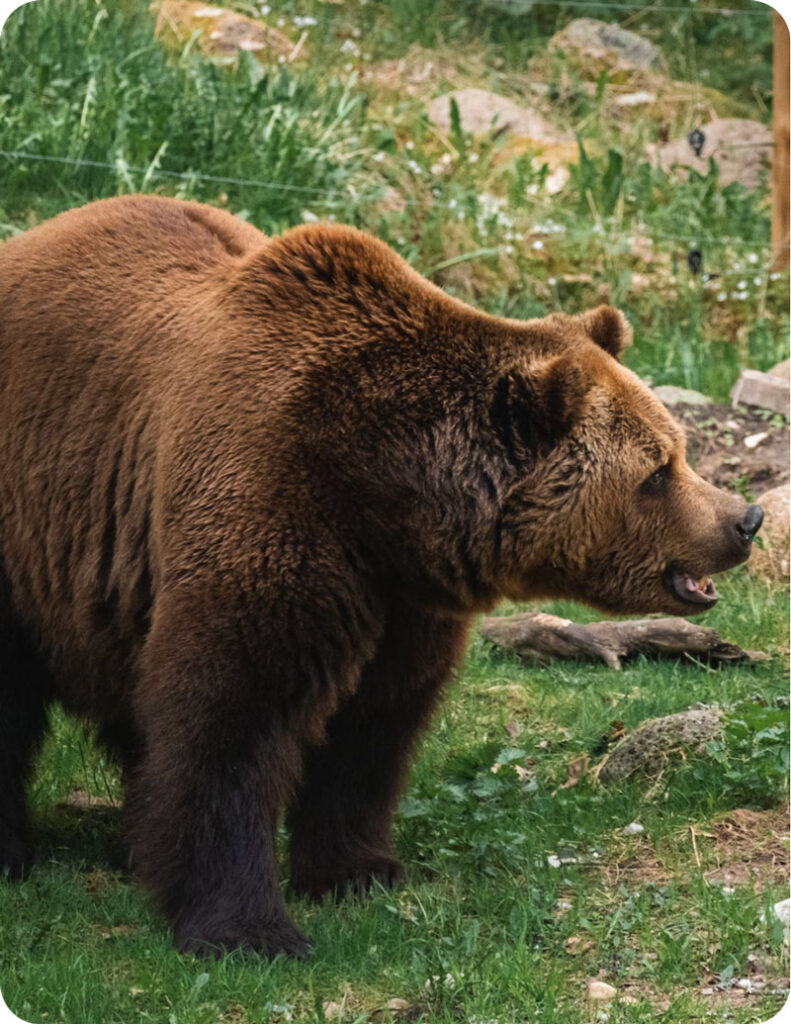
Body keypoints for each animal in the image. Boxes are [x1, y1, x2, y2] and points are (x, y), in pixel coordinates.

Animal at [0, 195, 762, 958]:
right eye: (657, 471)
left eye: (678, 450)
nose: (746, 519)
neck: (384, 498)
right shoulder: (269, 505)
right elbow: (231, 717)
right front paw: (248, 928)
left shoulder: (401, 597)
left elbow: (374, 726)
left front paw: (358, 870)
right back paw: (15, 854)